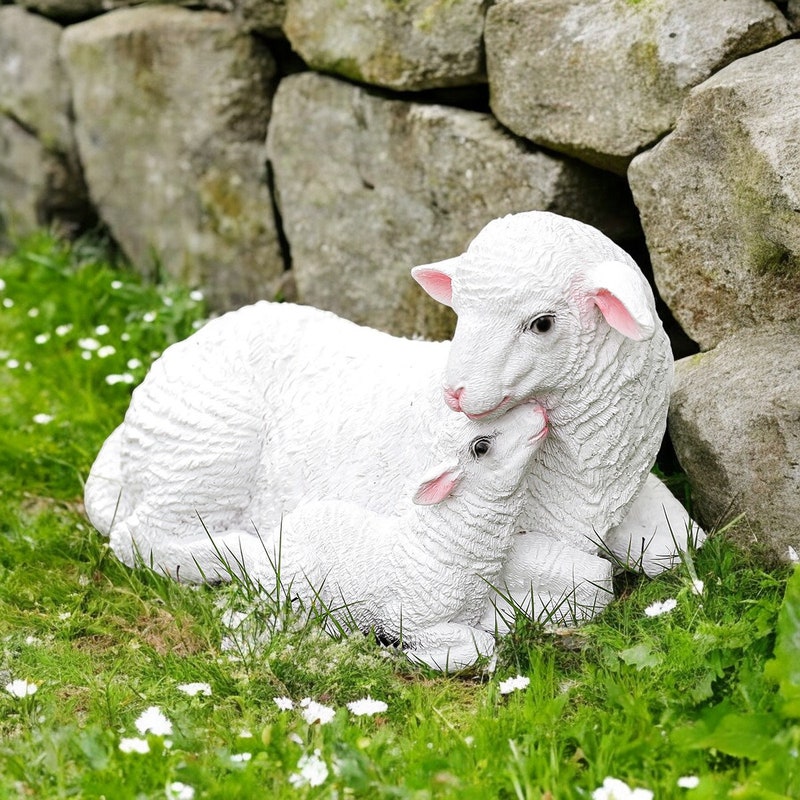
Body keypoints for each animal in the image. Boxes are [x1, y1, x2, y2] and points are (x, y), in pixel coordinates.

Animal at [84, 211, 699, 629]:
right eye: (459, 311)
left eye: (542, 323)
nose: (454, 392)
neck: (589, 476)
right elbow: (591, 581)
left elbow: (680, 546)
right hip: (205, 451)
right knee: (140, 539)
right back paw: (242, 550)